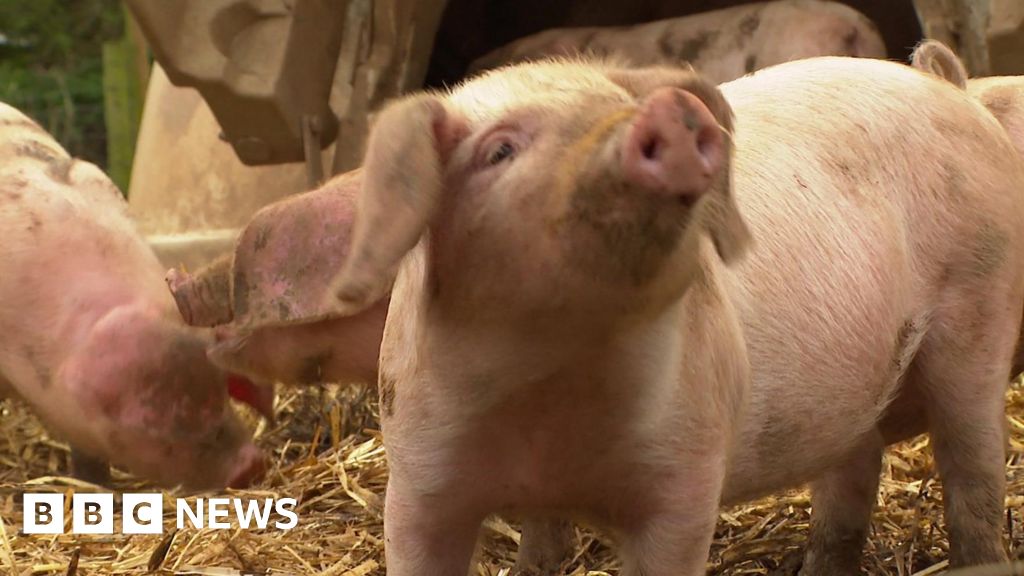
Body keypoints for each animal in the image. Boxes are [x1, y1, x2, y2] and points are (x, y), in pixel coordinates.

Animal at [315, 55, 1024, 576]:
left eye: (617, 105)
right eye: (500, 150)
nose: (661, 114)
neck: (550, 395)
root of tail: (949, 88)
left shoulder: (686, 471)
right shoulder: (419, 470)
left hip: (978, 307)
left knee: (973, 467)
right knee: (854, 475)